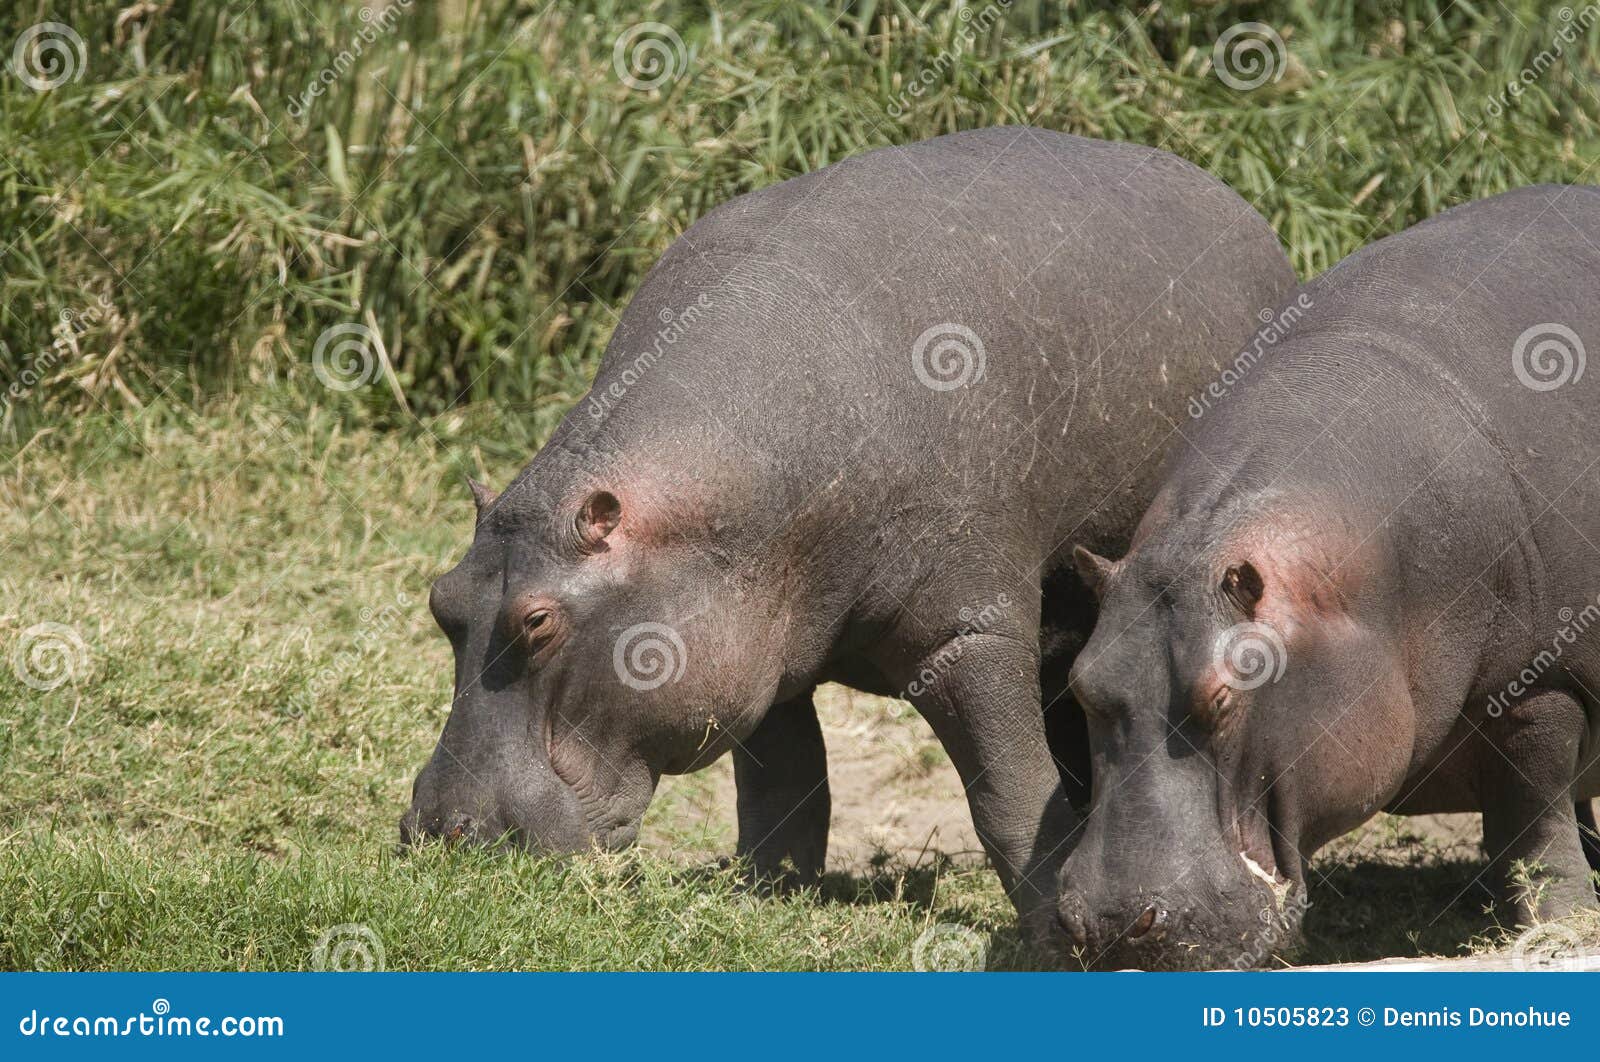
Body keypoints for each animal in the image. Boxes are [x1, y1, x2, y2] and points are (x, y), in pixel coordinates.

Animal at [402, 126, 1295, 941]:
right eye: (441, 601)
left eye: (538, 621)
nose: (442, 834)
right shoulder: (754, 647)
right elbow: (785, 787)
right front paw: (765, 899)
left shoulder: (967, 635)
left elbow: (1007, 790)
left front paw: (1046, 933)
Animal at [1062, 185, 1600, 969]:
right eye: (1080, 683)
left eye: (1224, 697)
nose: (1110, 926)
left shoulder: (1537, 686)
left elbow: (1538, 824)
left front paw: (1559, 924)